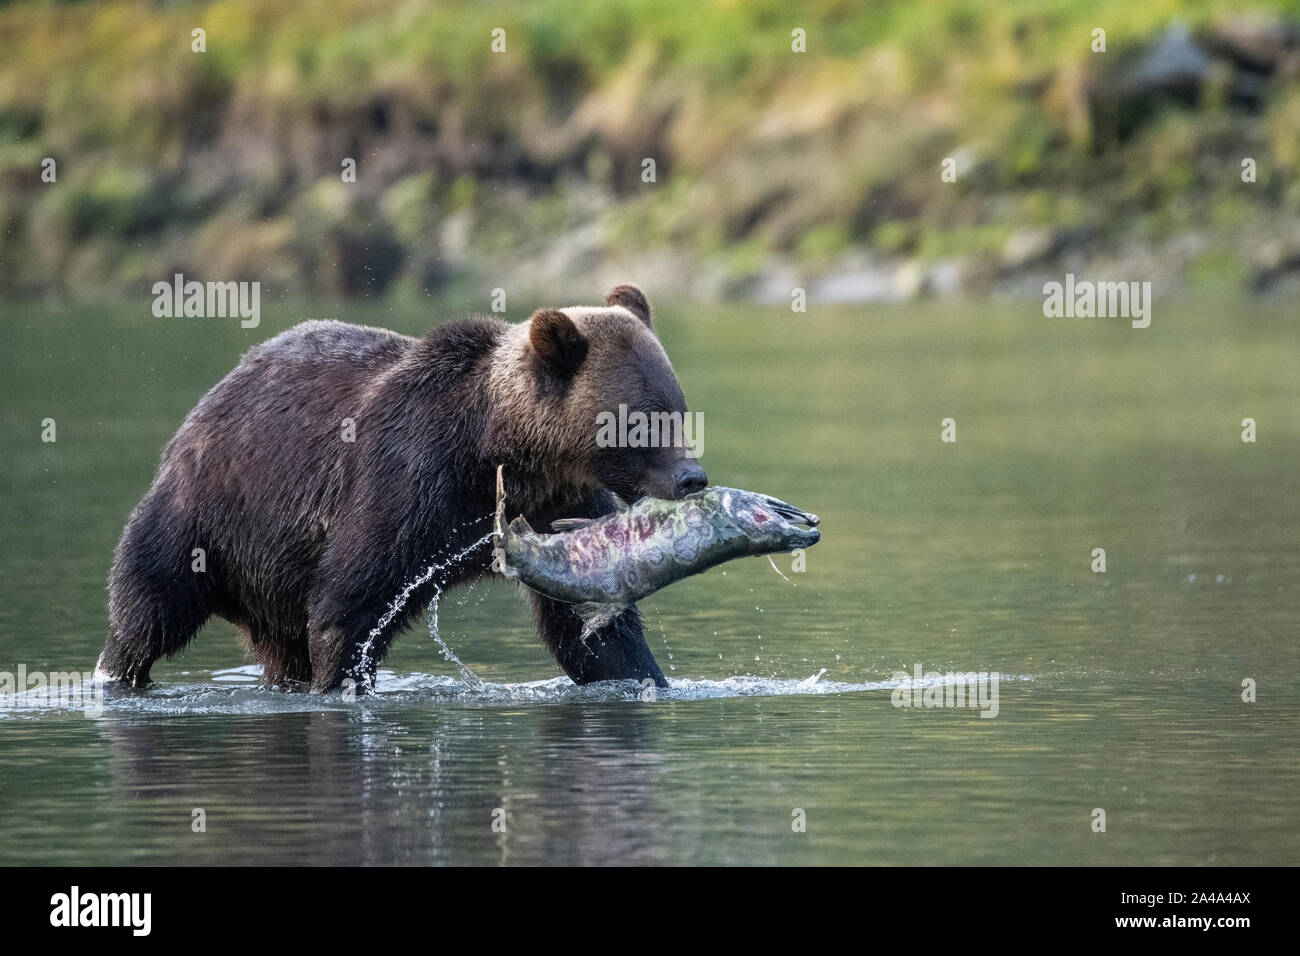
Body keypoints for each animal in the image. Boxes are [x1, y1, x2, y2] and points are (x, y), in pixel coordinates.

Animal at [96, 286, 707, 697]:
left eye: (675, 410)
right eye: (637, 422)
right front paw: (342, 682)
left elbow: (590, 628)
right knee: (149, 603)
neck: (500, 449)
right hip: (210, 512)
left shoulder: (562, 507)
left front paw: (643, 674)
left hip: (271, 571)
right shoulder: (410, 479)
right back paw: (116, 672)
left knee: (279, 643)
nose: (692, 478)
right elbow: (350, 599)